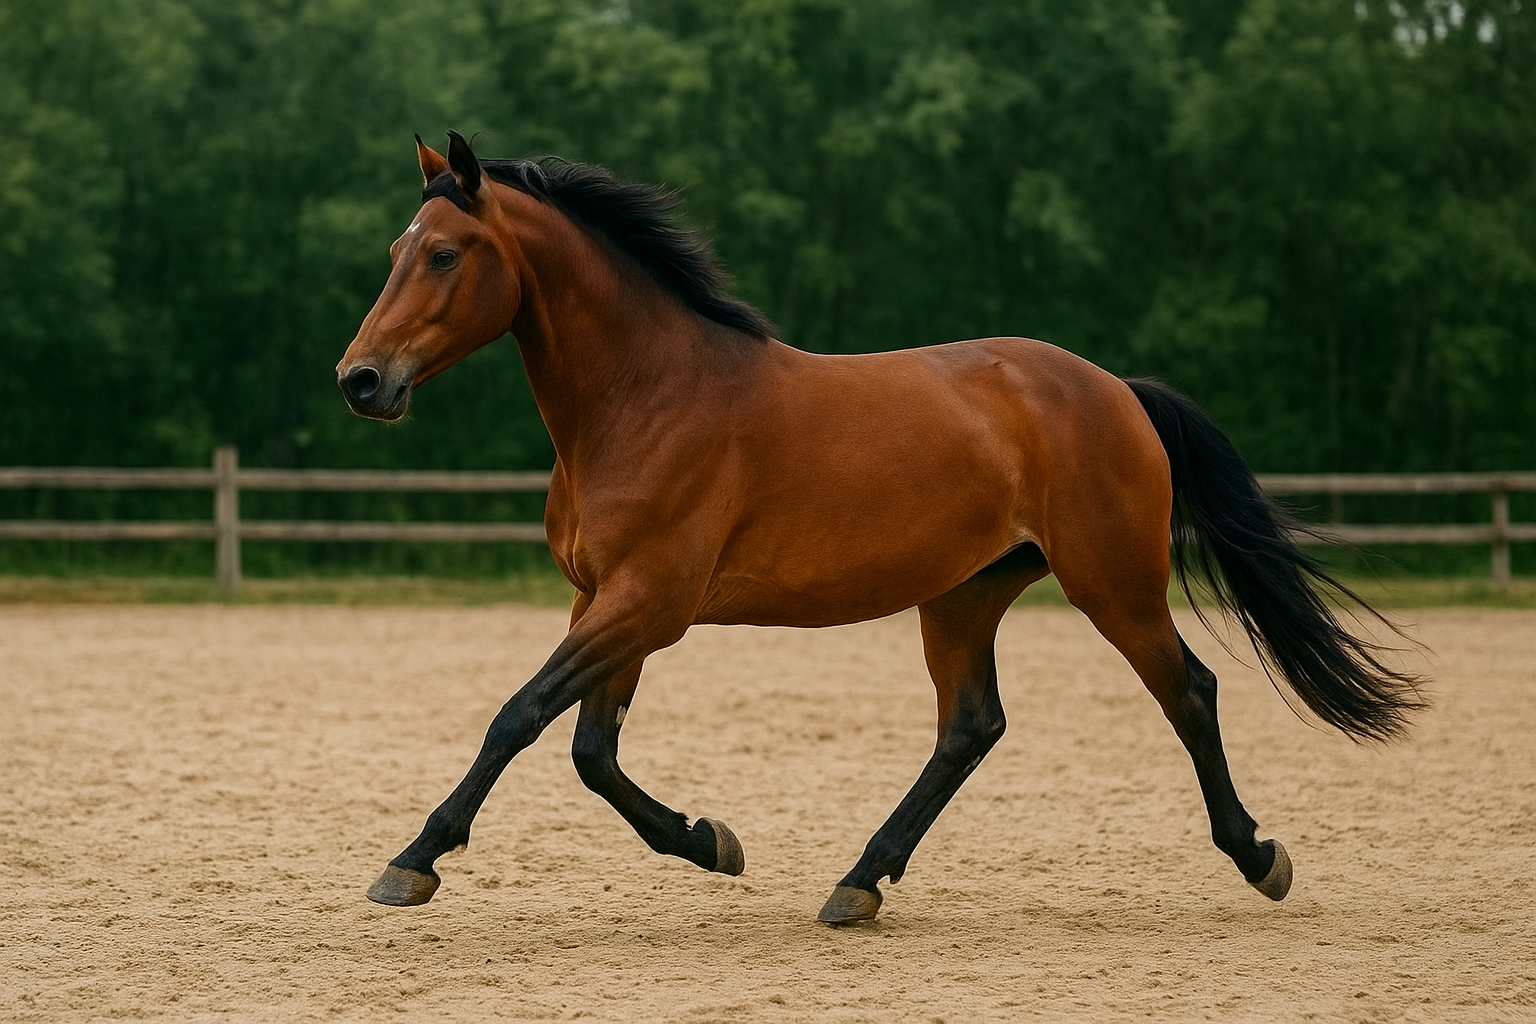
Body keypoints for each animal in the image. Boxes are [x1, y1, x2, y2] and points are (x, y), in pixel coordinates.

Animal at [336, 131, 1423, 924]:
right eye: (395, 251)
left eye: (443, 253)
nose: (361, 381)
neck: (646, 397)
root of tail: (1115, 389)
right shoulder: (606, 602)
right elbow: (591, 753)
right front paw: (711, 841)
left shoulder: (647, 603)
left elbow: (518, 717)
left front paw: (413, 860)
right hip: (966, 594)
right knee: (970, 726)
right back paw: (859, 881)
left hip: (1111, 583)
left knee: (1187, 691)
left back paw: (1258, 856)